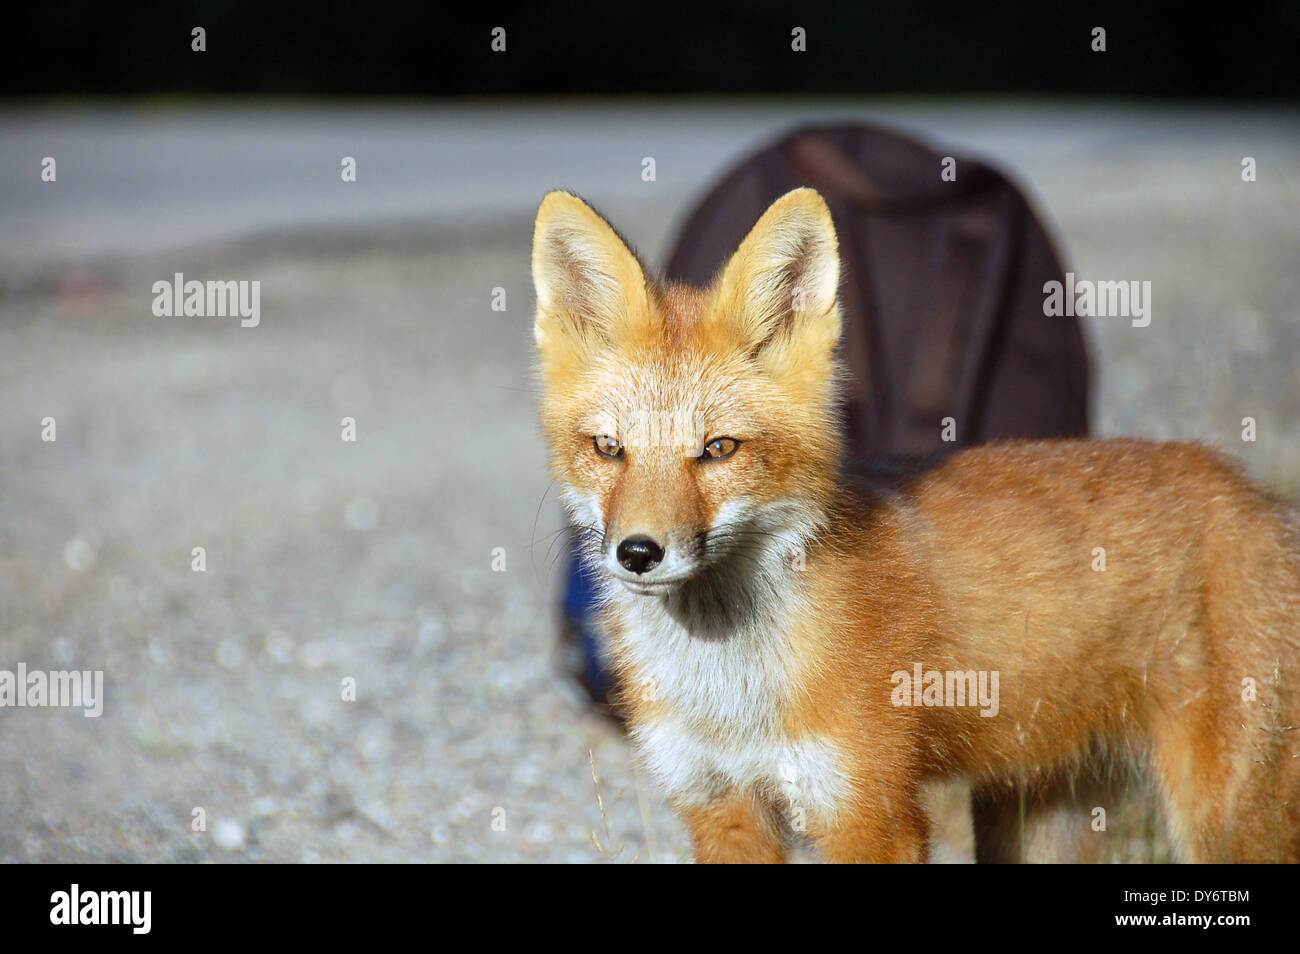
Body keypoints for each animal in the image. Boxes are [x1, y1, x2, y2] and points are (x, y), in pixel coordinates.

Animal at [530, 187, 1300, 863]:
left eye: (719, 450)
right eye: (609, 448)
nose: (638, 552)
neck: (734, 696)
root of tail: (1254, 493)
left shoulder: (869, 814)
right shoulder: (722, 808)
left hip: (1223, 824)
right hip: (1042, 812)